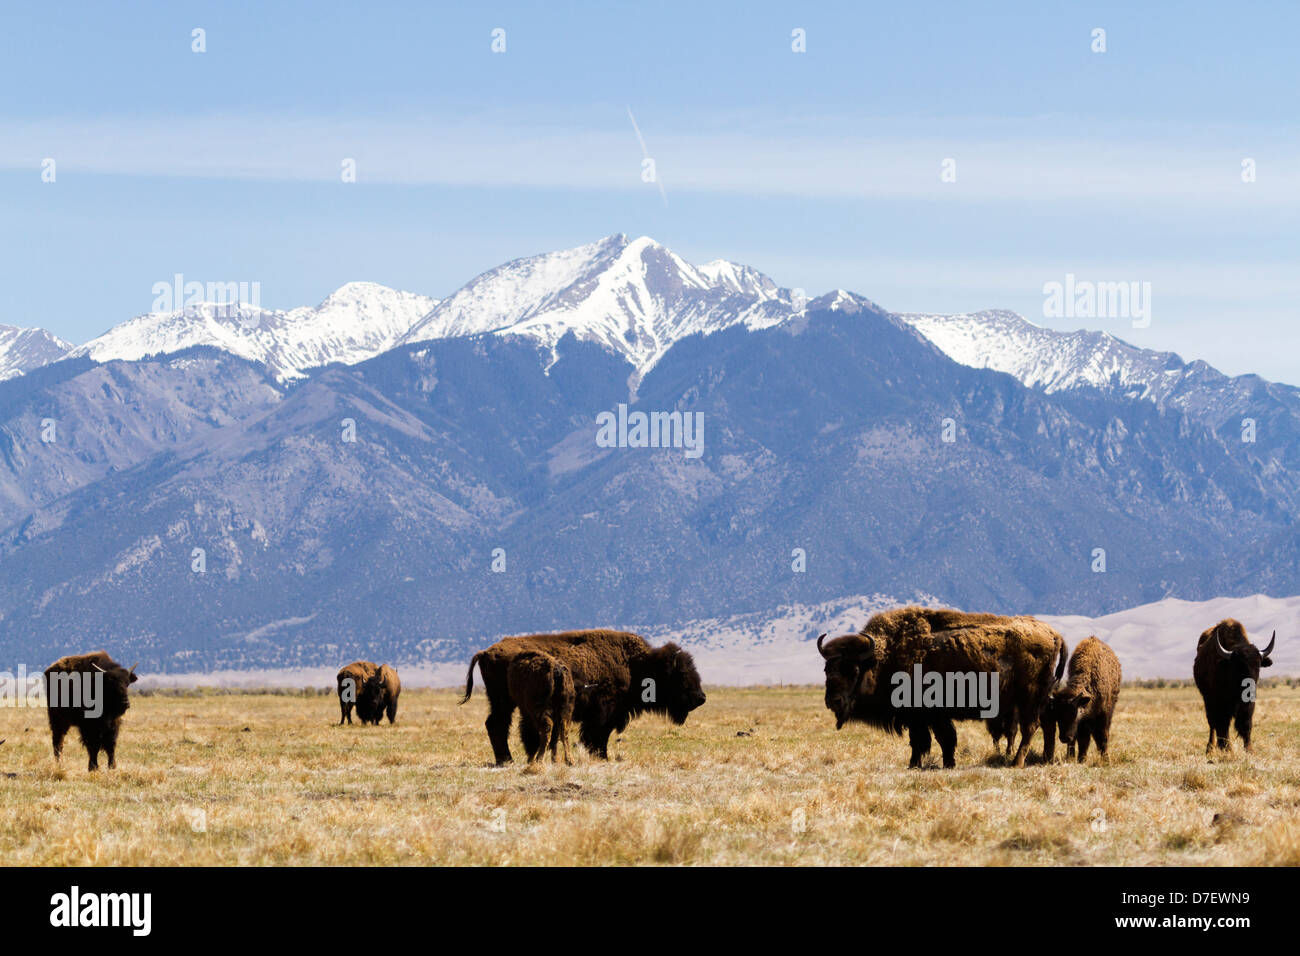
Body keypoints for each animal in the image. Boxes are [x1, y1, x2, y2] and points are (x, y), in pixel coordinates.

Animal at [461, 629, 707, 764]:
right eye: (681, 674)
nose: (701, 698)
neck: (636, 664)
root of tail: (486, 652)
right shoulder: (604, 713)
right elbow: (598, 736)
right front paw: (602, 757)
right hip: (503, 702)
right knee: (497, 725)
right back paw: (506, 760)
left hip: (501, 702)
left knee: (495, 724)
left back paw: (506, 759)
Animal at [818, 607, 1066, 768]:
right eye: (827, 669)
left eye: (854, 669)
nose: (833, 701)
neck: (884, 656)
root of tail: (1055, 635)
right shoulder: (928, 717)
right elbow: (937, 739)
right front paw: (944, 763)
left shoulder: (923, 715)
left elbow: (928, 740)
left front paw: (918, 764)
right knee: (1045, 726)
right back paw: (1043, 759)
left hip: (1028, 698)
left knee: (1030, 728)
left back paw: (1016, 763)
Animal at [1193, 619, 1275, 754]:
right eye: (1238, 665)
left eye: (1258, 665)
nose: (1249, 687)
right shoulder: (1219, 702)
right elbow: (1222, 725)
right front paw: (1227, 748)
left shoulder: (1247, 705)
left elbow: (1246, 723)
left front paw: (1249, 749)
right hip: (1207, 701)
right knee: (1212, 725)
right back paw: (1210, 748)